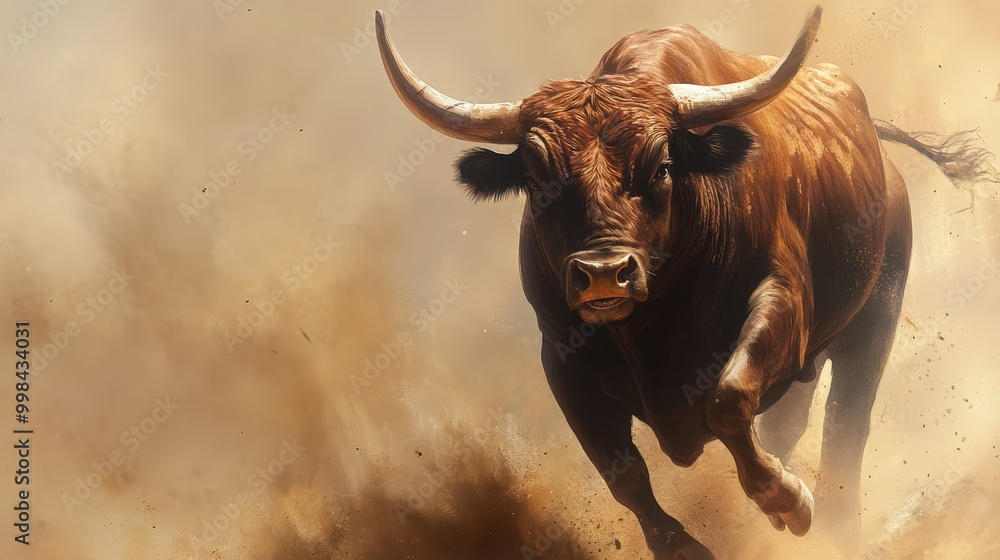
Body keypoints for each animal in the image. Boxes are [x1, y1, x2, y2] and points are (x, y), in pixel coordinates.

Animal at [375, 6, 998, 559]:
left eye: (662, 167)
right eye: (535, 178)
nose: (603, 274)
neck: (650, 328)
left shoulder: (781, 301)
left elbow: (727, 398)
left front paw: (789, 500)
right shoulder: (562, 359)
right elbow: (621, 472)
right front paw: (684, 546)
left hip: (875, 320)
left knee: (847, 426)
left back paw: (838, 530)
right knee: (789, 423)